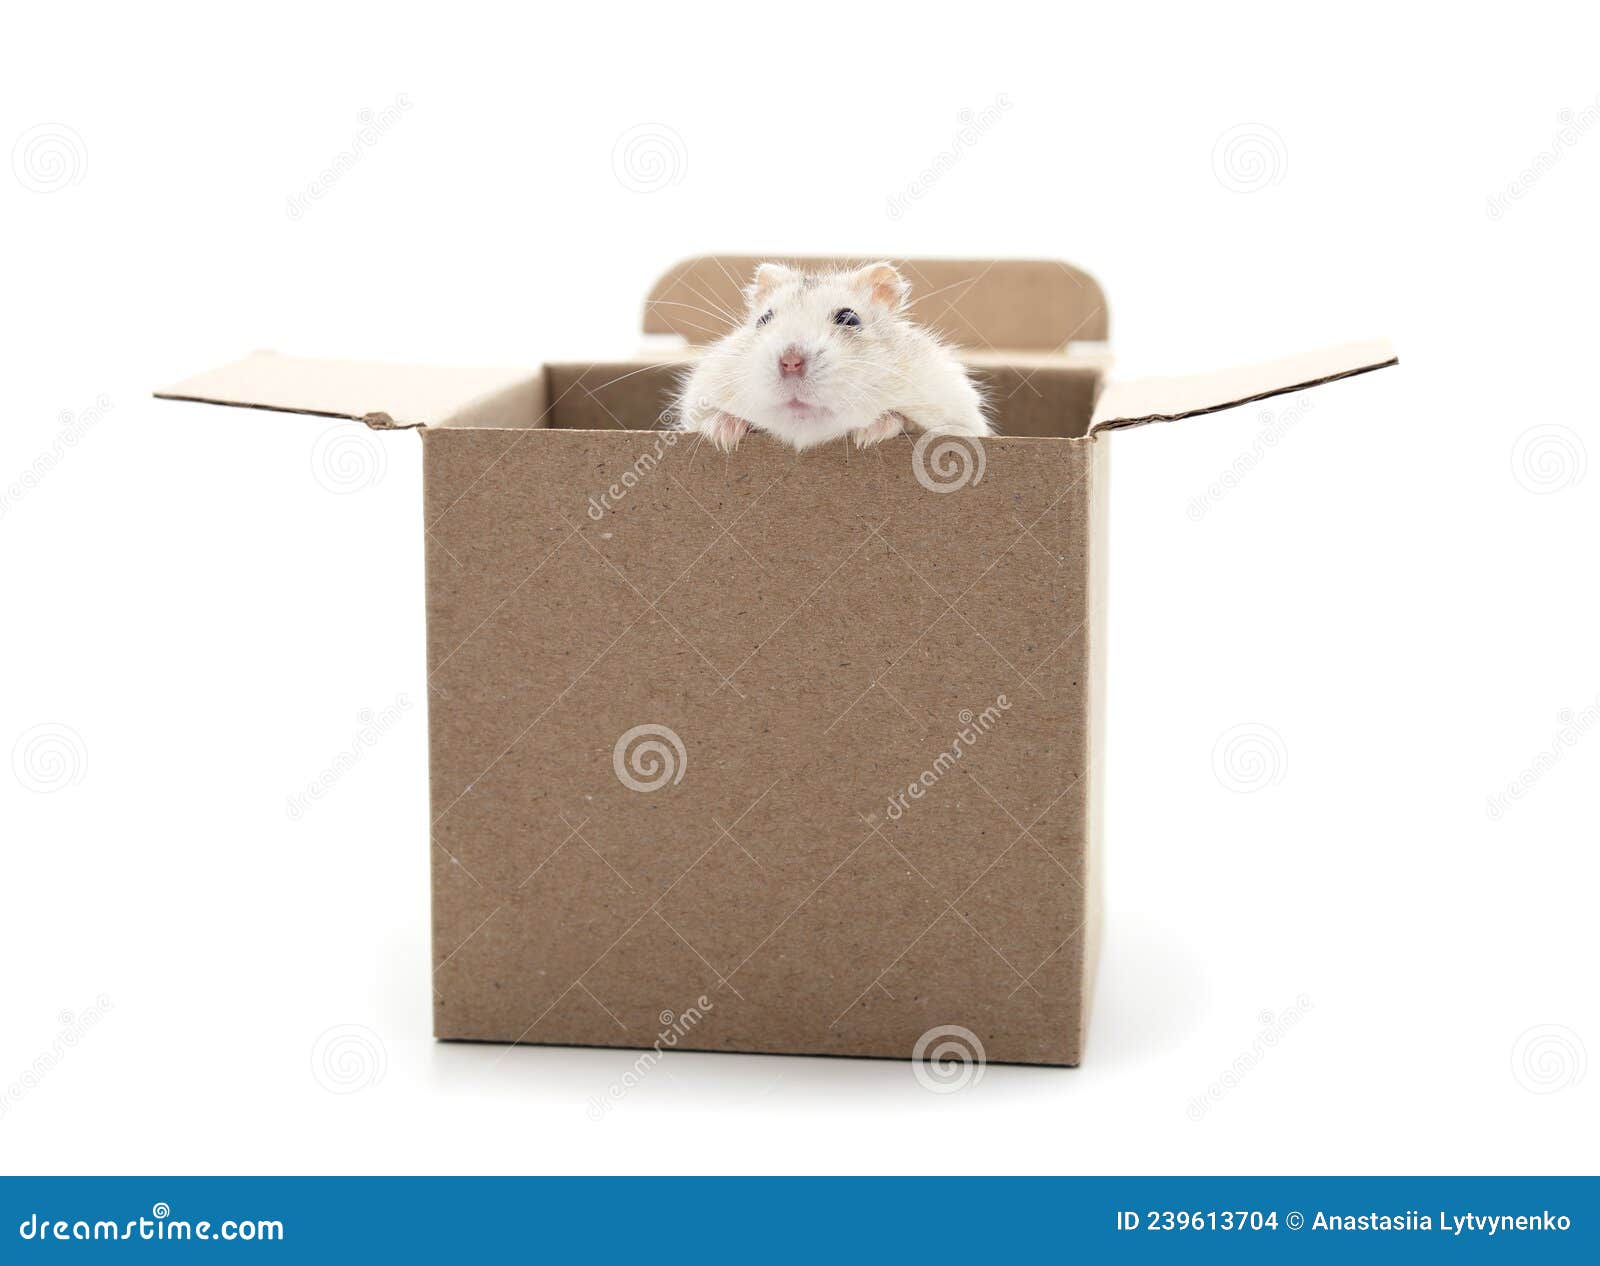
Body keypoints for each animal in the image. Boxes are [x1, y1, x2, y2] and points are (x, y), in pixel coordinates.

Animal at [673, 261, 991, 452]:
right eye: (763, 319)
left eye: (849, 319)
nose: (790, 362)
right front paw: (721, 432)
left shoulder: (960, 417)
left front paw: (872, 433)